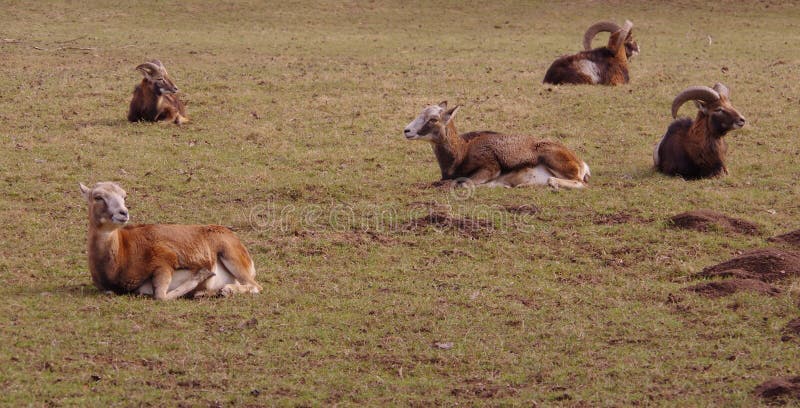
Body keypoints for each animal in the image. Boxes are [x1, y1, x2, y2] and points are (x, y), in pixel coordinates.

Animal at [79, 182, 262, 300]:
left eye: (124, 196)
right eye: (98, 197)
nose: (123, 213)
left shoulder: (163, 263)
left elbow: (161, 296)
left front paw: (202, 274)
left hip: (231, 257)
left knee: (256, 286)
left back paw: (225, 290)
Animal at [403, 101, 590, 189]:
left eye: (433, 119)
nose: (407, 131)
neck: (462, 152)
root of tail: (581, 163)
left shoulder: (490, 168)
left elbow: (464, 184)